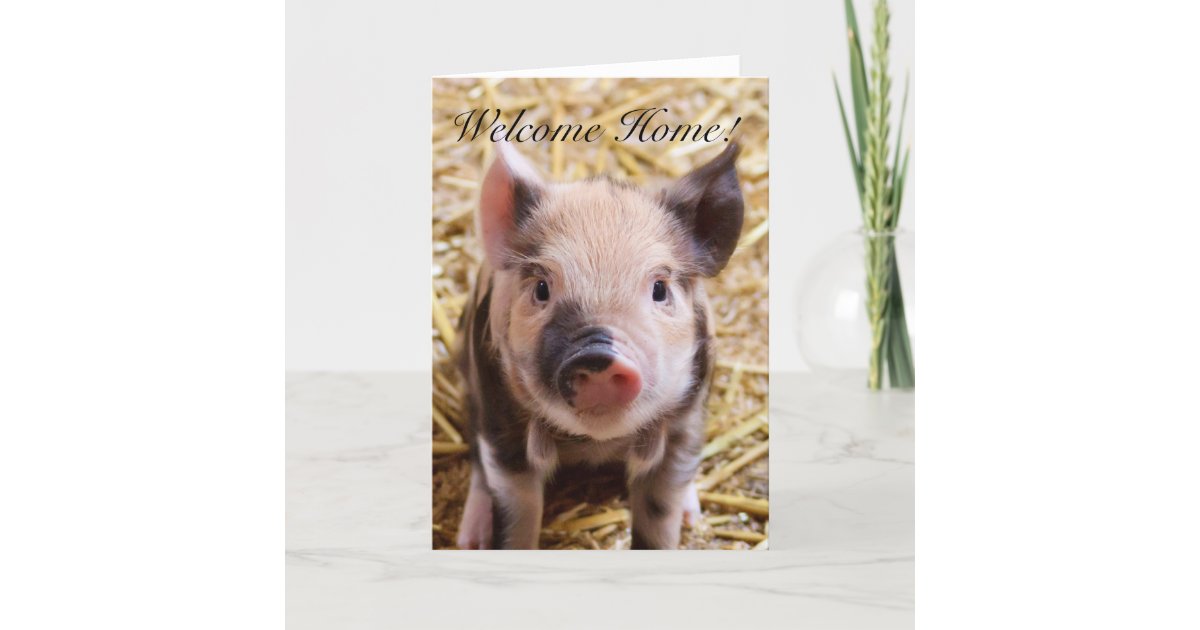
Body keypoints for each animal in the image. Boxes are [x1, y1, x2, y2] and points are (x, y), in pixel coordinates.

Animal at [453, 141, 744, 549]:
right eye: (542, 288)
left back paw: (693, 516)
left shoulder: (686, 421)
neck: (595, 444)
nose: (598, 355)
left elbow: (660, 515)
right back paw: (470, 539)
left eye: (659, 289)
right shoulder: (501, 421)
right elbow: (517, 515)